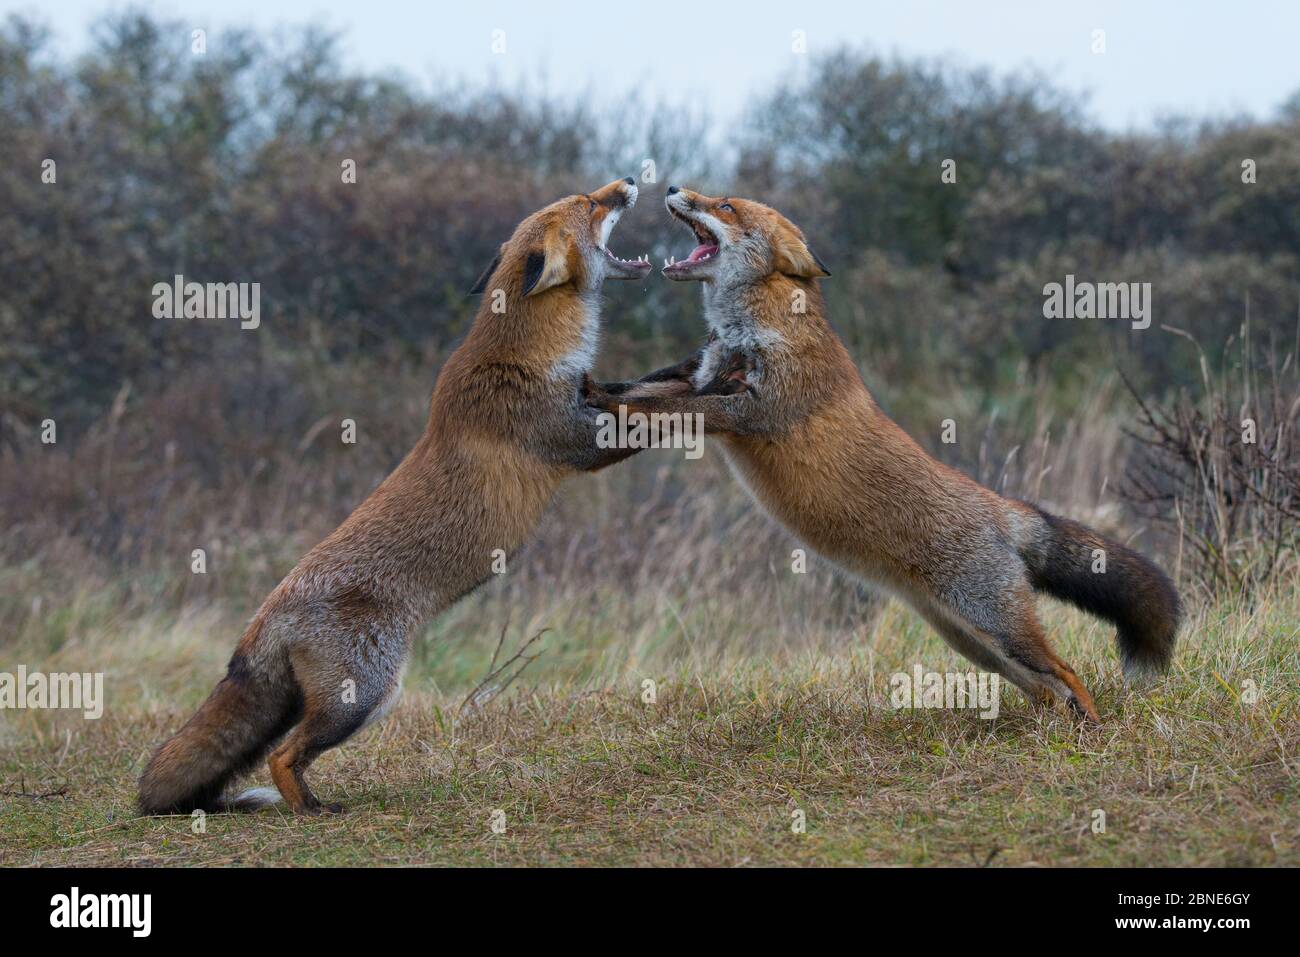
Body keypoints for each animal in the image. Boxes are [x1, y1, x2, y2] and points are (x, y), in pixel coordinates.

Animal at [138, 178, 652, 815]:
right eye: (589, 203)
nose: (628, 181)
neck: (526, 352)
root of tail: (263, 619)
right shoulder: (576, 441)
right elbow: (663, 415)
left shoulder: (591, 404)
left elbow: (646, 388)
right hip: (366, 695)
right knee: (282, 756)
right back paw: (311, 810)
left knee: (278, 750)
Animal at [586, 186, 1181, 721]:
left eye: (726, 206)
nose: (671, 186)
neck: (753, 330)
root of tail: (1003, 508)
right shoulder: (705, 375)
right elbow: (648, 388)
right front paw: (597, 390)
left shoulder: (753, 409)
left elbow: (668, 409)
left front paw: (614, 410)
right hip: (973, 642)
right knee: (1045, 687)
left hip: (994, 624)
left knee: (1068, 674)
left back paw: (1089, 733)